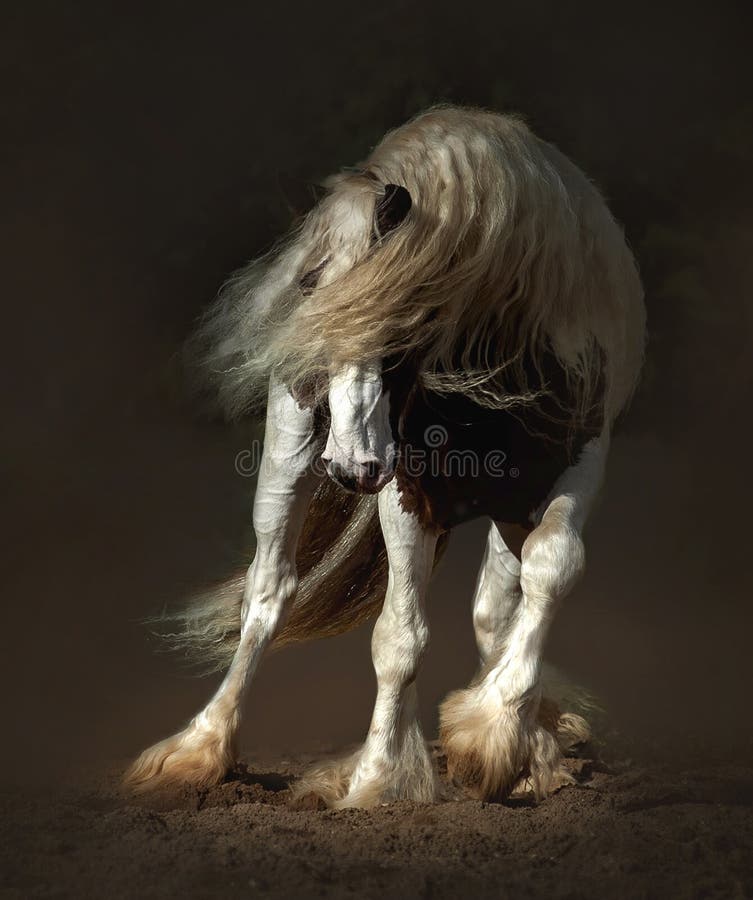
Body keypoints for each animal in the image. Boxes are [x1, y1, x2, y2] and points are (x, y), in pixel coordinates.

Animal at [125, 106, 646, 807]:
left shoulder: (577, 463)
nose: (351, 466)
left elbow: (550, 569)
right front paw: (379, 780)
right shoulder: (408, 491)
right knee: (268, 592)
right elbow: (400, 637)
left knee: (496, 607)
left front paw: (499, 740)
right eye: (314, 288)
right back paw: (199, 749)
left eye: (405, 315)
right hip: (291, 455)